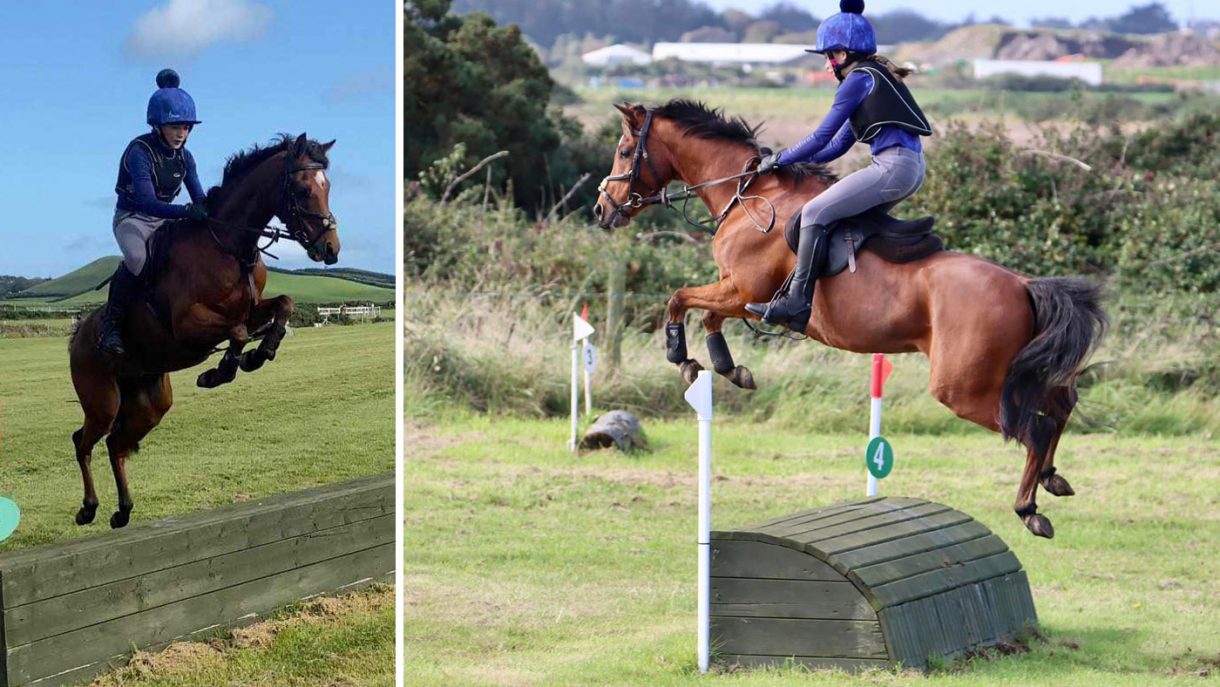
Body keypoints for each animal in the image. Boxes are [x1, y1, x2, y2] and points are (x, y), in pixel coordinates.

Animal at [68, 133, 340, 529]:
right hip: (101, 401)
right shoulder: (187, 325)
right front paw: (220, 371)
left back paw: (123, 510)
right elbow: (238, 332)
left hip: (150, 403)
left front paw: (260, 354)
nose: (330, 249)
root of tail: (77, 335)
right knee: (82, 441)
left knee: (114, 444)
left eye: (327, 186)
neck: (229, 245)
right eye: (303, 189)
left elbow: (283, 305)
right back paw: (88, 507)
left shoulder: (251, 309)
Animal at [593, 101, 1107, 538]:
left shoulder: (743, 292)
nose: (602, 209)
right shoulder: (732, 292)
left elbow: (680, 300)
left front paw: (682, 357)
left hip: (967, 388)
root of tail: (1023, 284)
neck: (749, 196)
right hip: (1018, 372)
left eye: (624, 151)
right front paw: (729, 368)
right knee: (1061, 405)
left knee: (1035, 428)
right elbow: (707, 318)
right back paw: (1052, 478)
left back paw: (1029, 509)